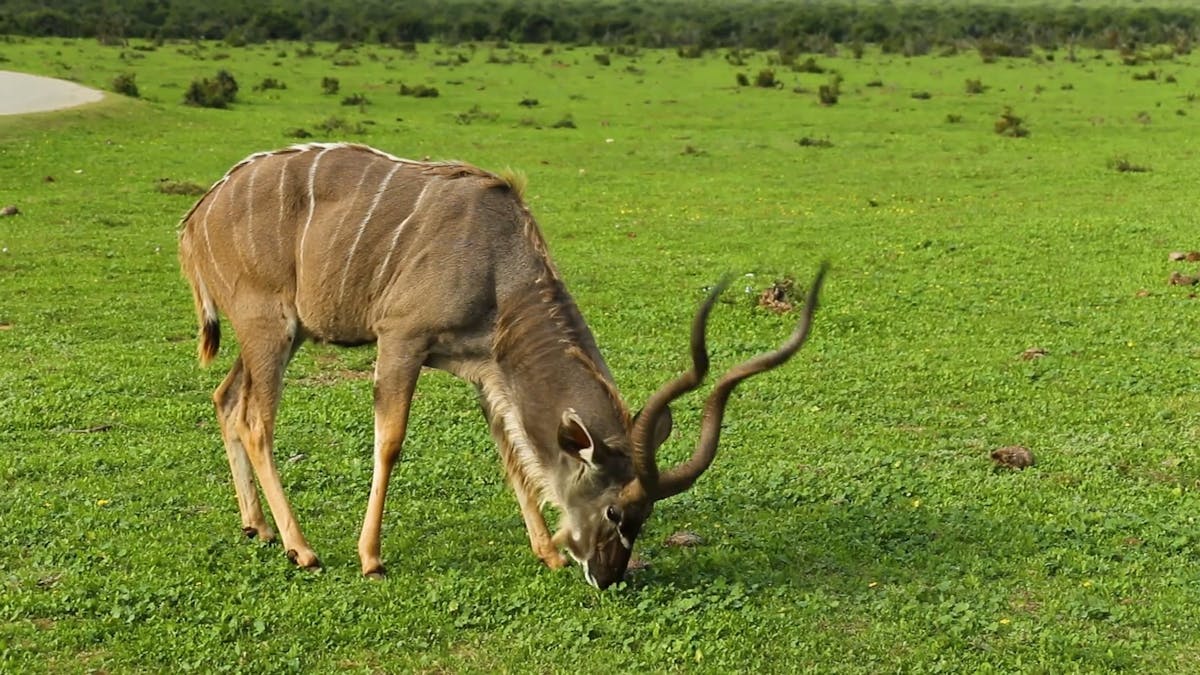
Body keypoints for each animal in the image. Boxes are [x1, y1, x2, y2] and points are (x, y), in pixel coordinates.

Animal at [178, 142, 825, 589]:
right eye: (615, 510)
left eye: (645, 515)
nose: (607, 575)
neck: (499, 266)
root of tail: (197, 215)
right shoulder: (402, 338)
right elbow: (390, 441)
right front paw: (371, 558)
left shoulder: (487, 370)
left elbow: (513, 455)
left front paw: (547, 552)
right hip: (269, 327)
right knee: (257, 421)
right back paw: (302, 548)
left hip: (272, 336)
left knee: (226, 400)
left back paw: (257, 527)